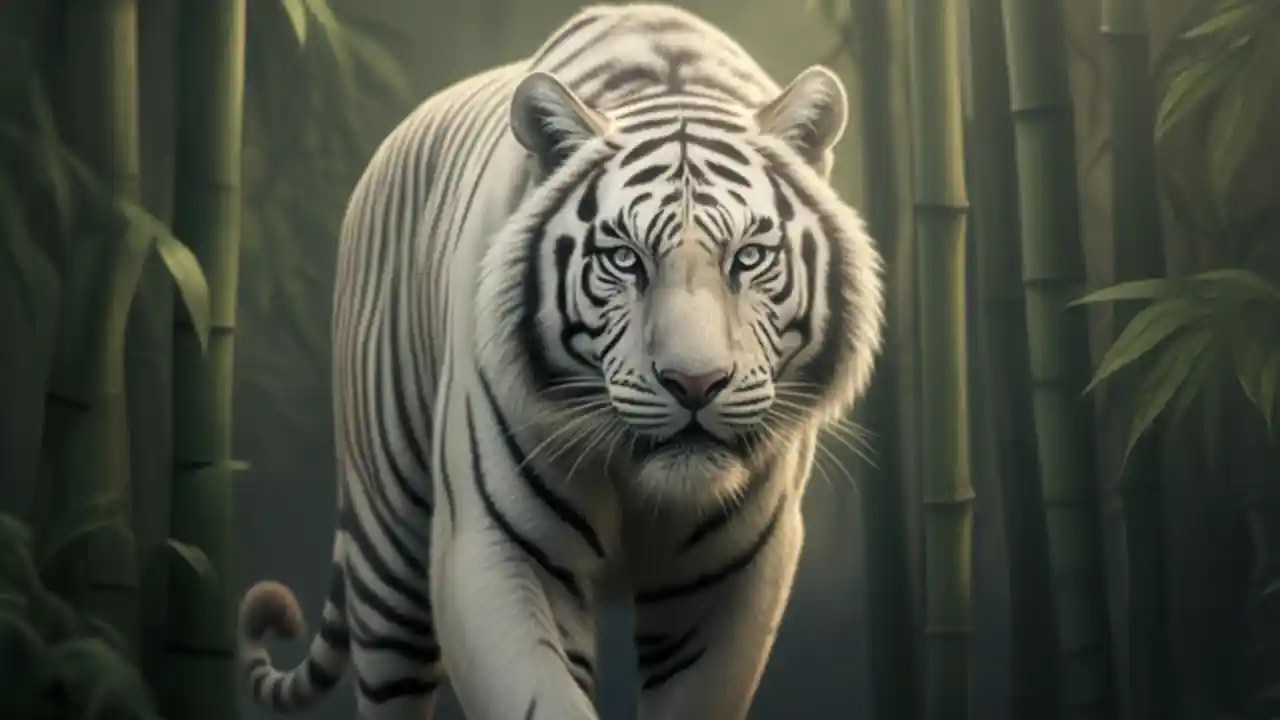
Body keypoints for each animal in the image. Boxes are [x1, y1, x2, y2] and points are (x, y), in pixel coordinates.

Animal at [235, 3, 884, 719]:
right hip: (388, 554)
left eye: (748, 257)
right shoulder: (497, 550)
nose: (694, 383)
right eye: (624, 258)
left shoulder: (731, 576)